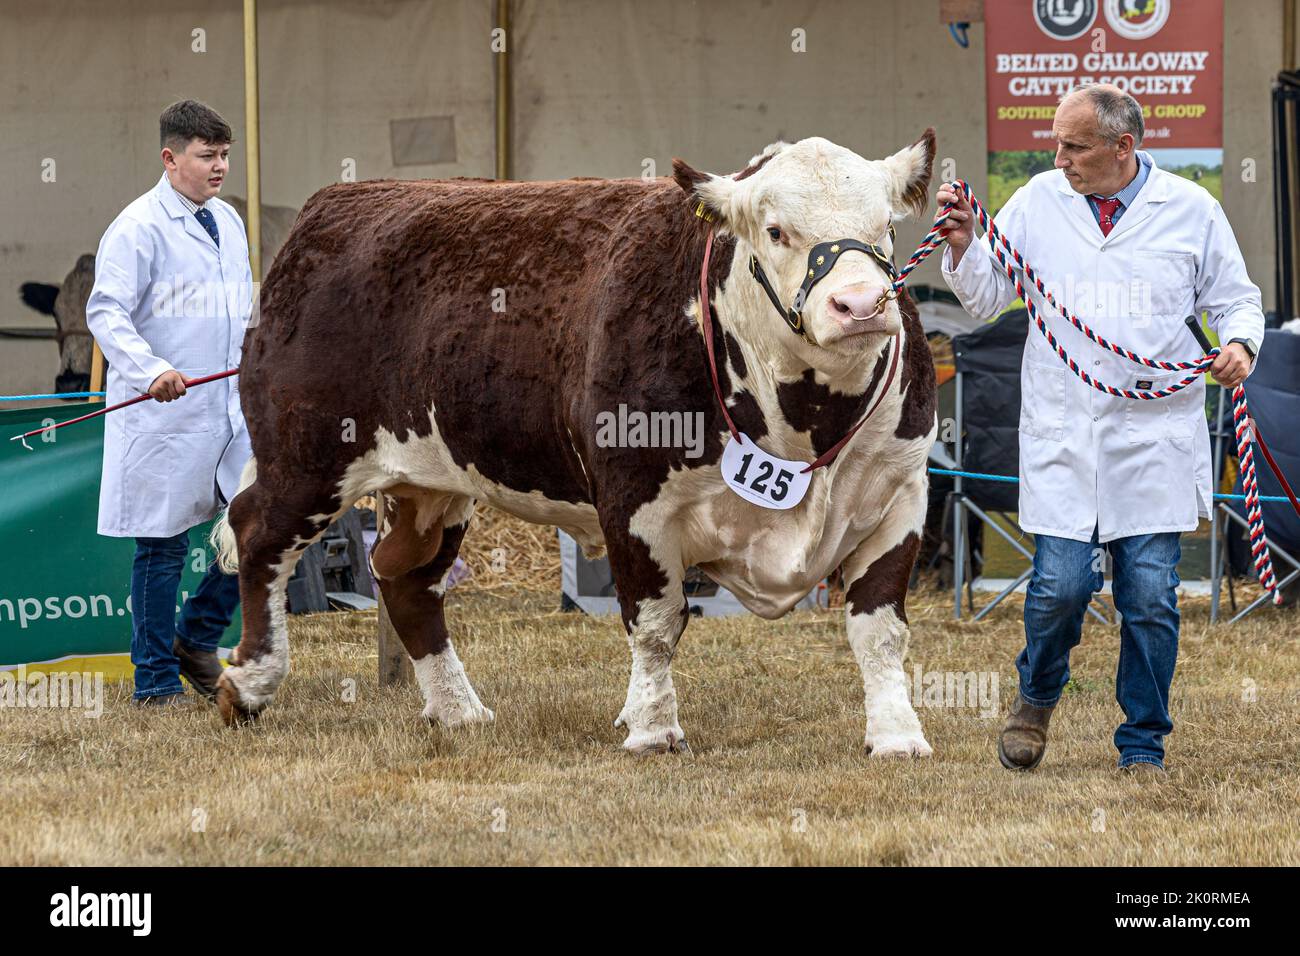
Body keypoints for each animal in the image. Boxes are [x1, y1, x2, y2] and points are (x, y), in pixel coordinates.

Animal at [213, 131, 940, 758]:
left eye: (885, 227)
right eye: (777, 231)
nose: (861, 304)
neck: (801, 419)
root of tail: (338, 205)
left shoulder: (899, 497)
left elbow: (880, 630)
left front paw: (897, 736)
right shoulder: (634, 500)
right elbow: (656, 622)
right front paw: (653, 729)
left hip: (429, 485)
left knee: (406, 578)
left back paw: (457, 709)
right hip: (305, 456)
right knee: (257, 534)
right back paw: (248, 685)